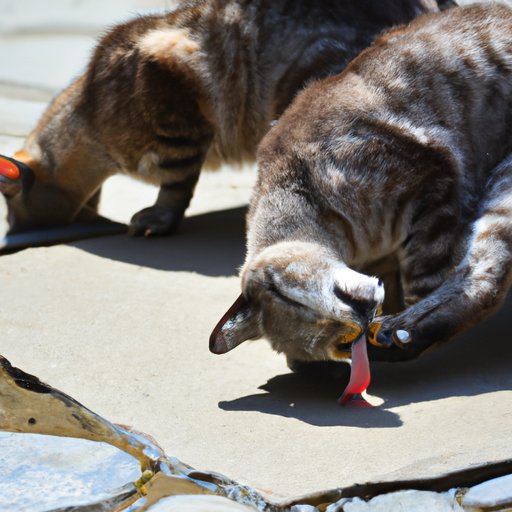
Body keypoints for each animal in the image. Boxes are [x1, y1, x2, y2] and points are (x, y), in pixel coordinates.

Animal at [210, 4, 512, 364]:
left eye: (291, 298)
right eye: (344, 342)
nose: (363, 316)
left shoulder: (435, 183)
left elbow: (424, 278)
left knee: (482, 280)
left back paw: (404, 330)